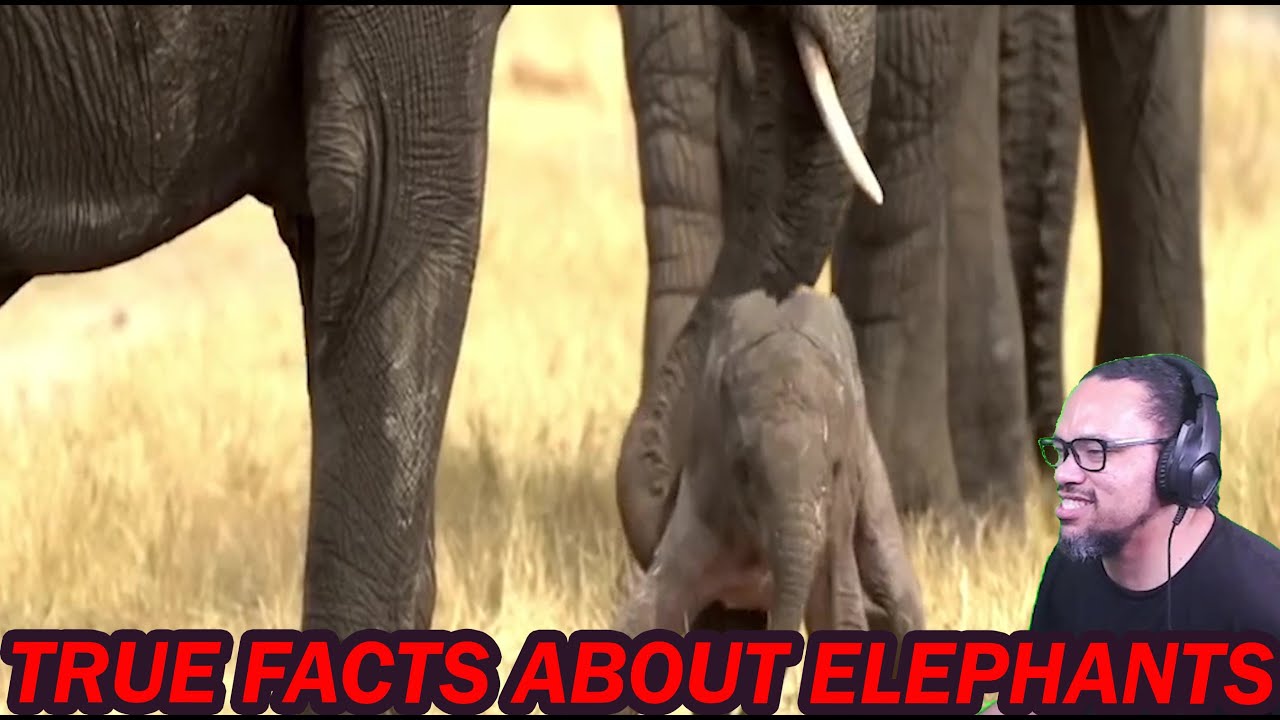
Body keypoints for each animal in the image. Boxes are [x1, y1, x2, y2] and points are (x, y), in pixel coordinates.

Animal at [612, 286, 925, 648]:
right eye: (744, 470)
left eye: (834, 470)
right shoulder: (709, 481)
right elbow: (652, 605)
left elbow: (840, 611)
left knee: (896, 585)